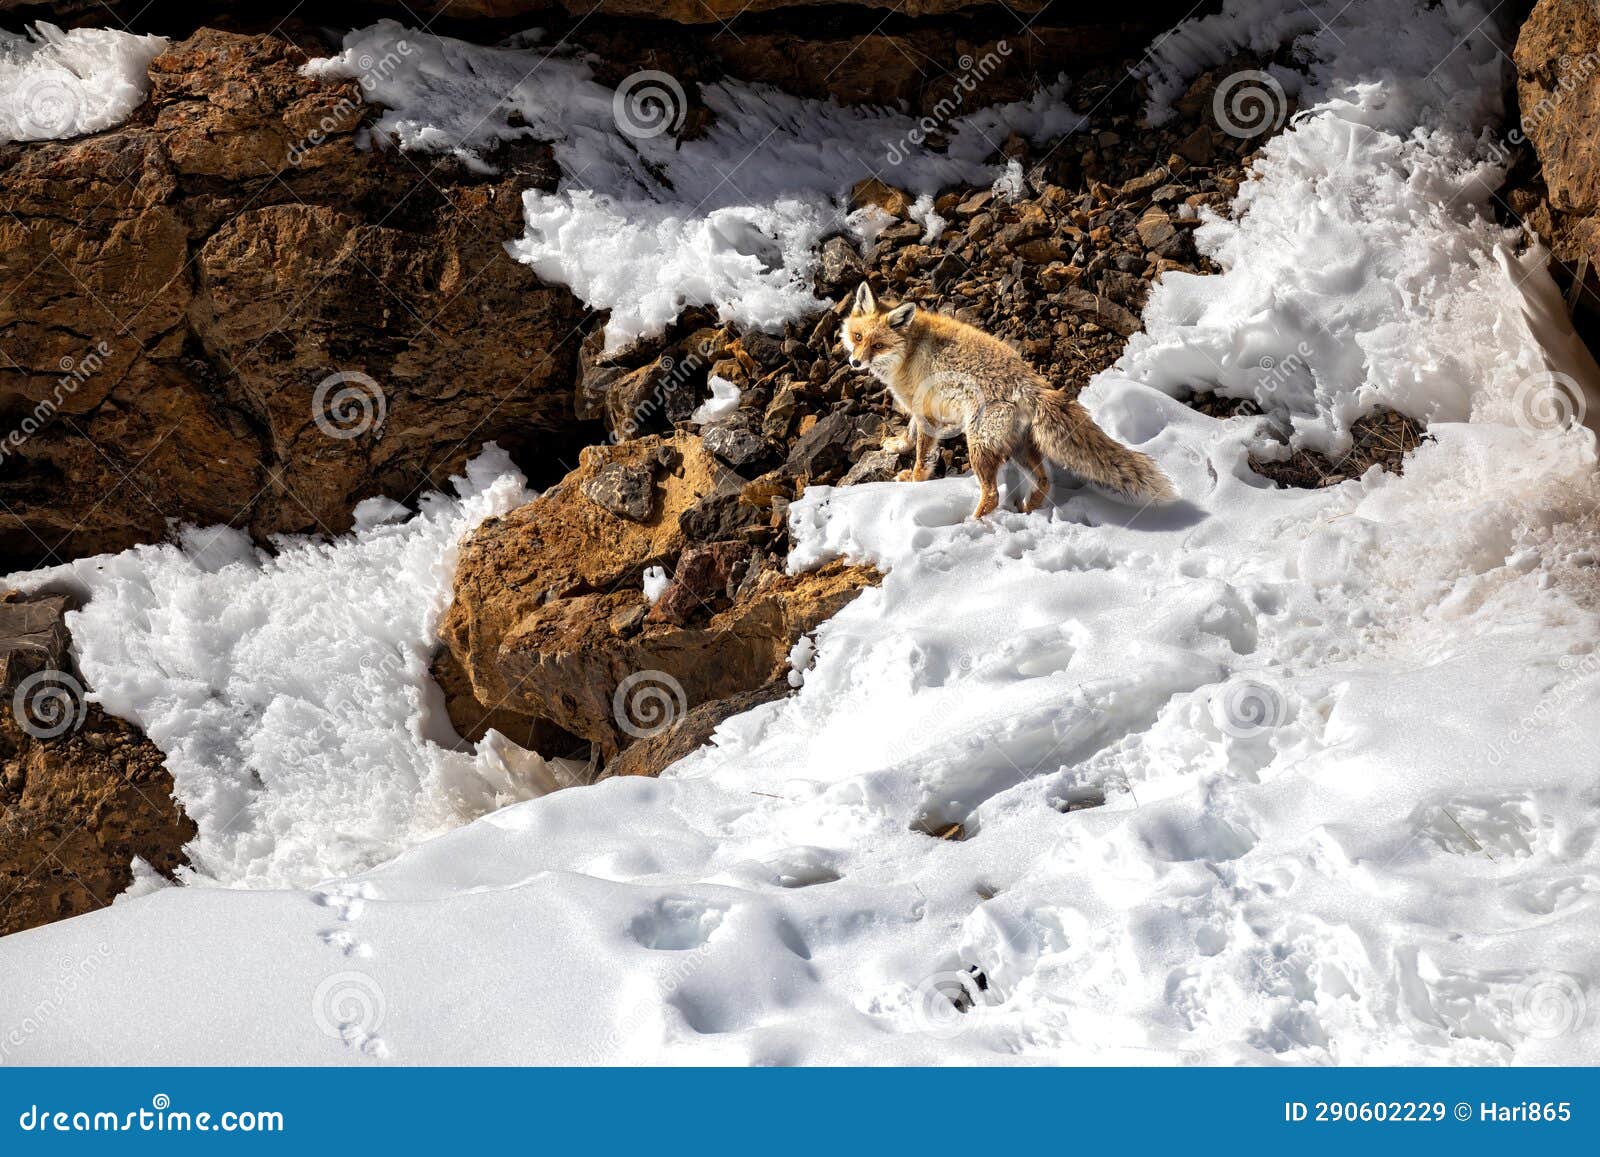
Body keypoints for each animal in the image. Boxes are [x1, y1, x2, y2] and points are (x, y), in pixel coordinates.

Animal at [841, 282, 1176, 518]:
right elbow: (909, 434)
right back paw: (1028, 508)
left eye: (878, 345)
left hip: (979, 446)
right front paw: (897, 445)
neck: (908, 351)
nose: (855, 363)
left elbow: (923, 455)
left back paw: (974, 523)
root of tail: (1032, 385)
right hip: (1019, 447)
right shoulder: (920, 409)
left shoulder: (927, 415)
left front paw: (914, 481)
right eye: (858, 337)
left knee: (991, 495)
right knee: (1043, 481)